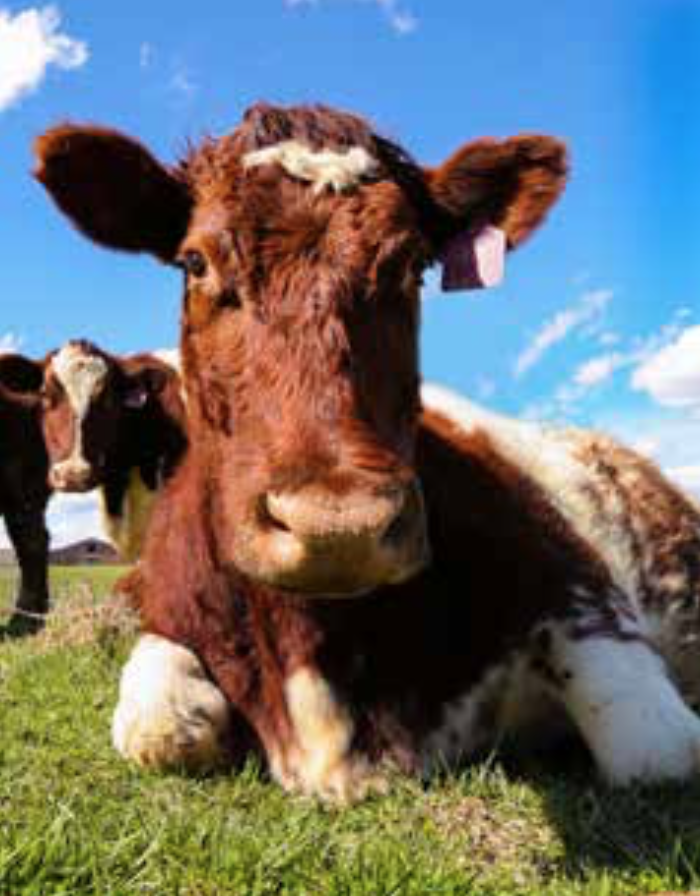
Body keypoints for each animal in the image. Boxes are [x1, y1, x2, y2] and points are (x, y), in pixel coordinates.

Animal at [34, 103, 700, 802]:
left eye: (414, 264)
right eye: (195, 262)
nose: (337, 527)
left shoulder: (578, 586)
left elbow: (656, 750)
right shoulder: (164, 601)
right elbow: (160, 731)